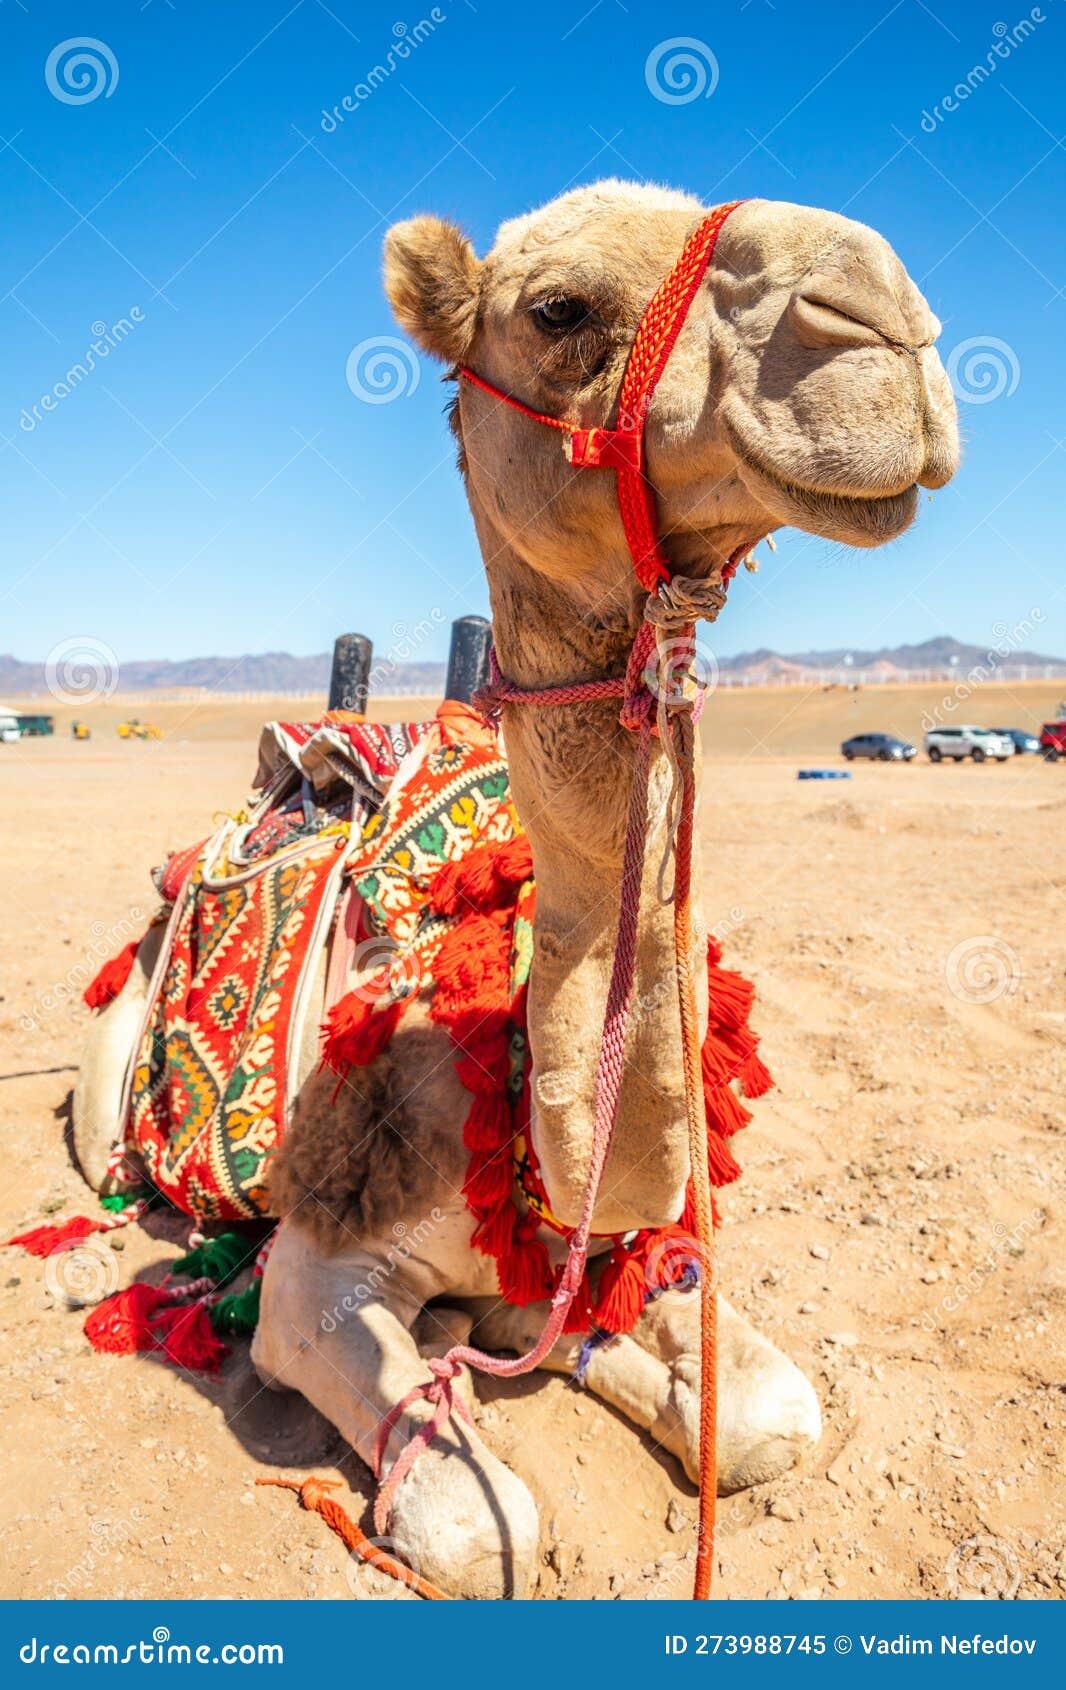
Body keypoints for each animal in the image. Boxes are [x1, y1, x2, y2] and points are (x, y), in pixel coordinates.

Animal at [74, 182, 959, 1600]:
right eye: (558, 309)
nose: (885, 322)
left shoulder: (645, 1243)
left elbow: (769, 1413)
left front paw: (594, 1348)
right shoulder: (315, 1269)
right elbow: (477, 1528)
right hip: (108, 1087)